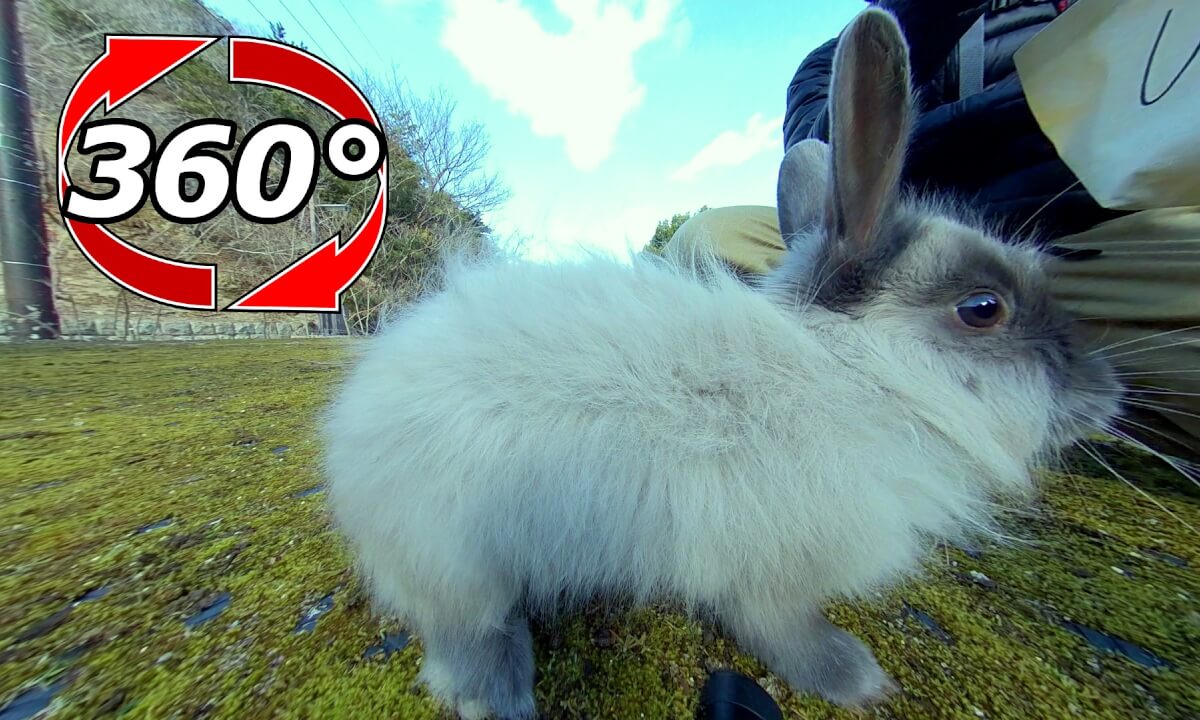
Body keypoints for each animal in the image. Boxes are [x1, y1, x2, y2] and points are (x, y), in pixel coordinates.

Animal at [321, 7, 1123, 719]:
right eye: (983, 308)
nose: (1108, 394)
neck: (860, 378)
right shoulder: (774, 567)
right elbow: (780, 627)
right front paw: (854, 678)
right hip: (454, 551)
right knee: (464, 627)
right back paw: (496, 694)